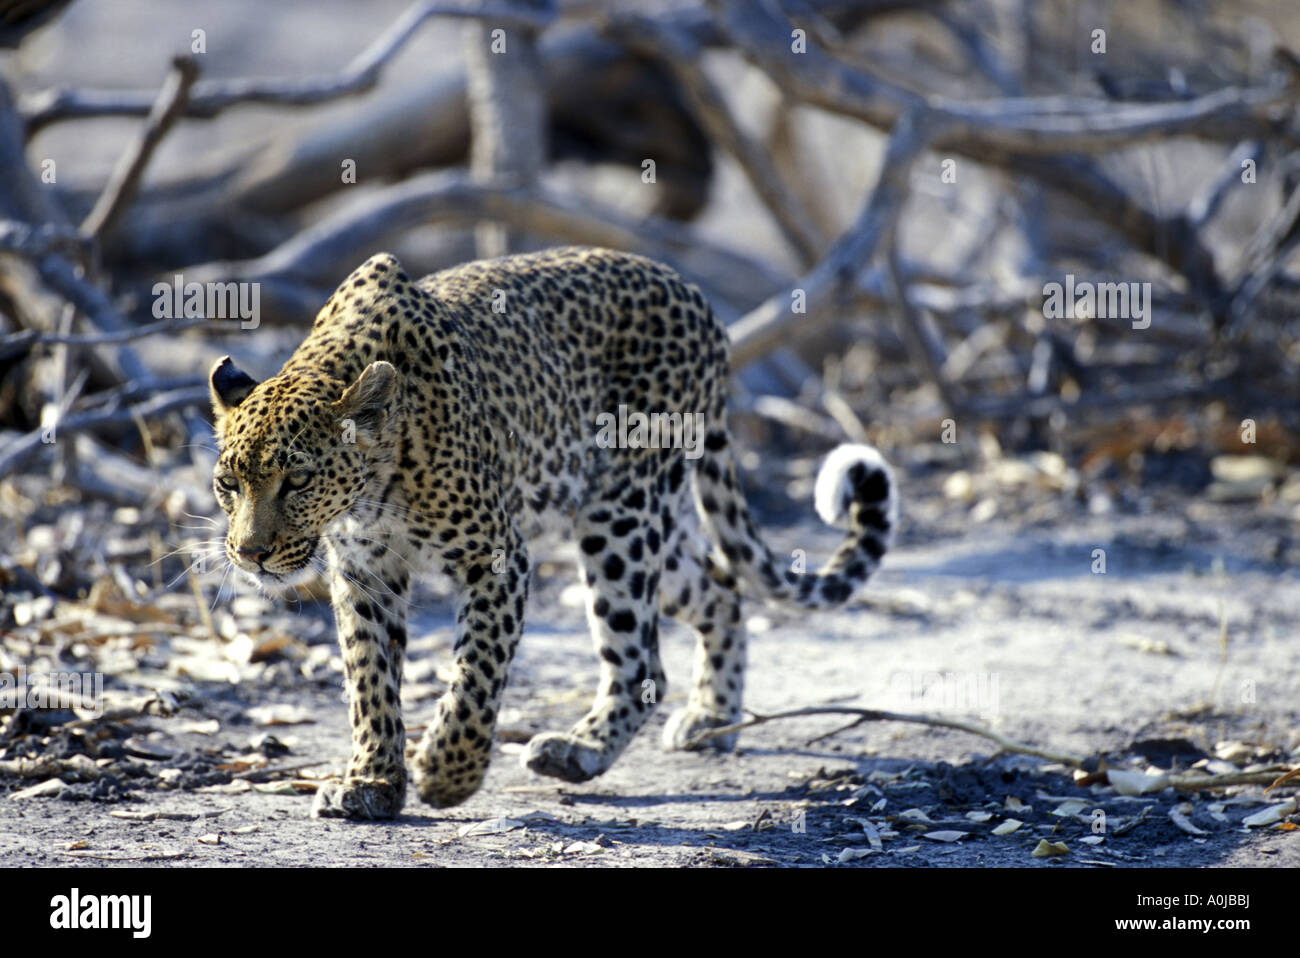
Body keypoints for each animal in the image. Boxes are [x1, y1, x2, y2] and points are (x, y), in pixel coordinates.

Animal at [208, 247, 897, 820]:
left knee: (641, 656)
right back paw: (712, 717)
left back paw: (578, 751)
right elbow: (369, 678)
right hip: (641, 523)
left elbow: (476, 674)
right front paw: (372, 783)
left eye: (297, 480)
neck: (372, 488)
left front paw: (447, 776)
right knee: (720, 590)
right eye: (227, 484)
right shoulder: (365, 571)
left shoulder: (497, 558)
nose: (250, 554)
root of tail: (694, 295)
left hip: (621, 513)